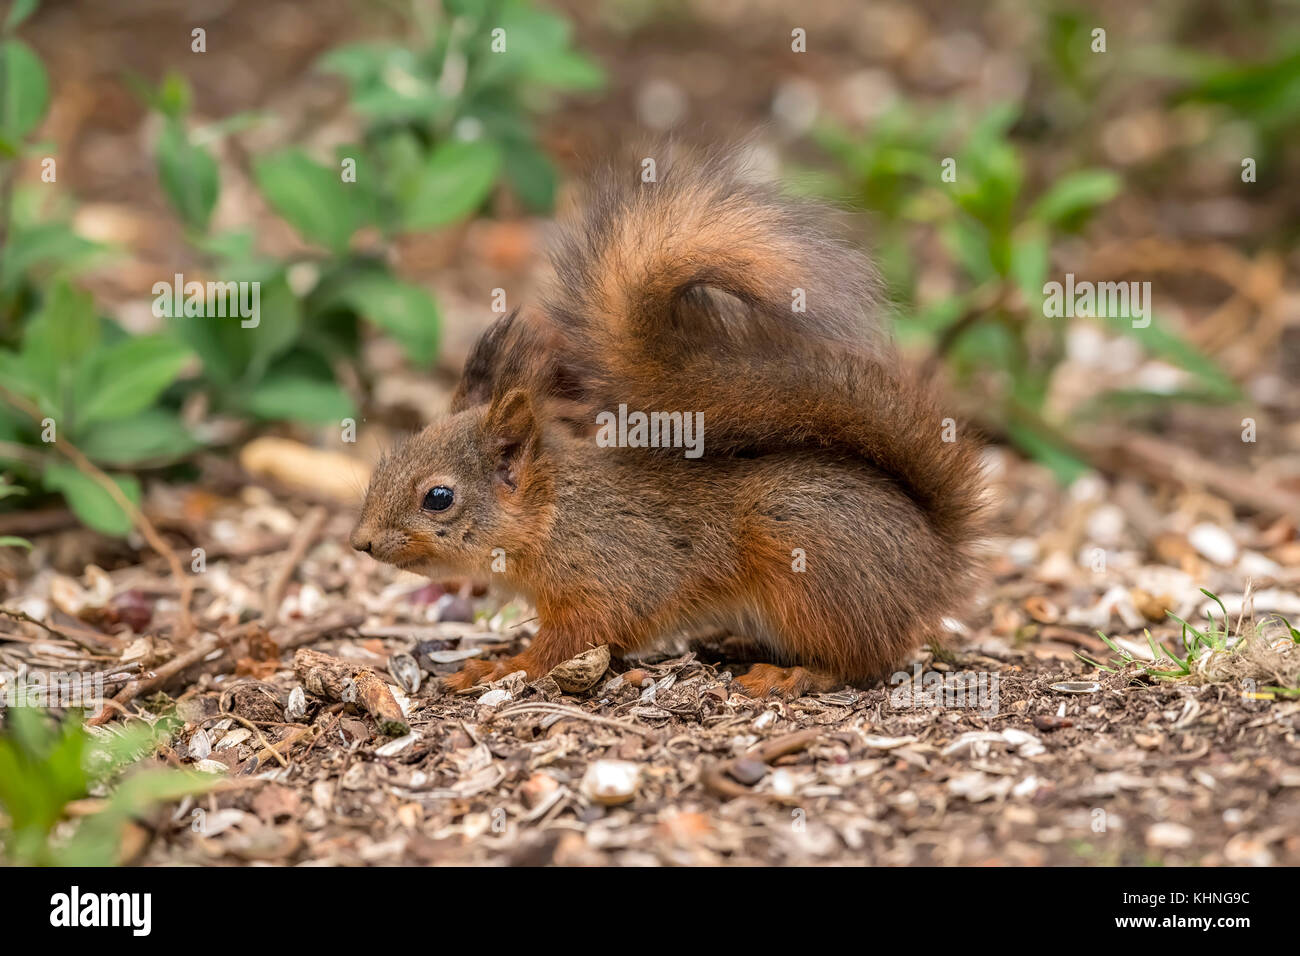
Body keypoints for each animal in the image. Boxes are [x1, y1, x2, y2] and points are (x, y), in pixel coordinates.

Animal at [350, 147, 988, 697]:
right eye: (386, 463)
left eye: (438, 498)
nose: (361, 543)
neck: (558, 514)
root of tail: (937, 560)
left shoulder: (611, 577)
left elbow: (570, 641)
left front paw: (496, 667)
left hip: (811, 569)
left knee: (861, 661)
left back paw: (791, 674)